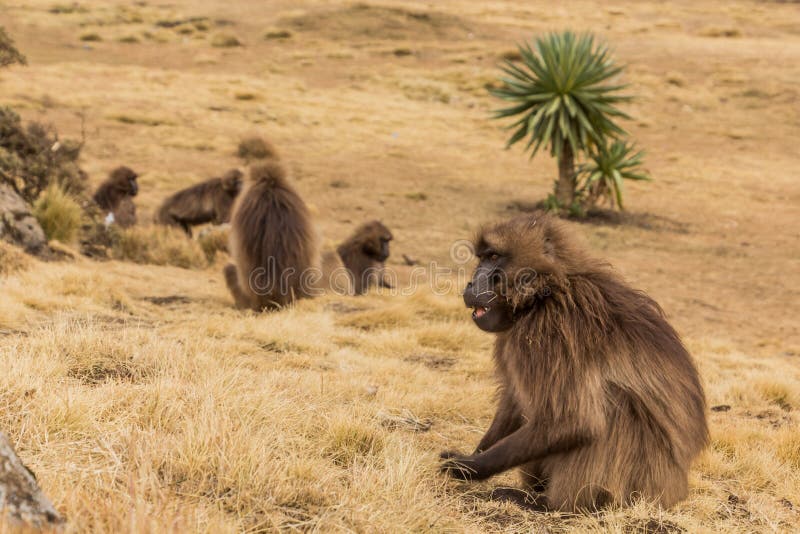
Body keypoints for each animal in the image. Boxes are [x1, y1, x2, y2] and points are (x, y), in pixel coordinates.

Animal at [440, 213, 708, 512]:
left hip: (640, 485)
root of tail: (676, 489)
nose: (470, 285)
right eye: (482, 258)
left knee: (612, 409)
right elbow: (515, 401)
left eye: (494, 256)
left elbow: (573, 421)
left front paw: (468, 467)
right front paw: (473, 454)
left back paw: (545, 503)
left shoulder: (550, 332)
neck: (544, 291)